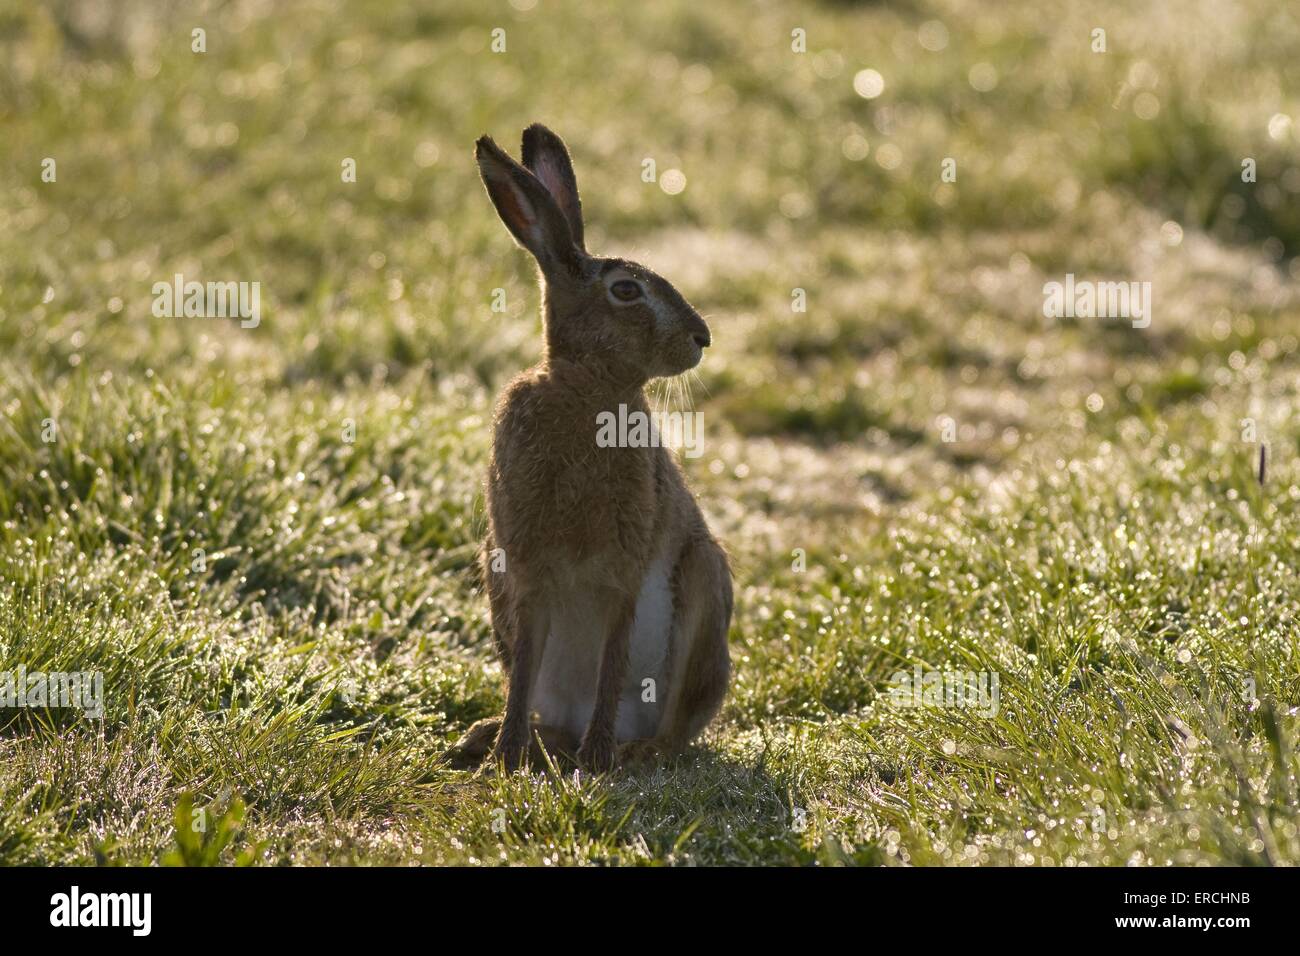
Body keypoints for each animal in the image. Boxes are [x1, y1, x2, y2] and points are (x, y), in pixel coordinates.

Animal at [447, 124, 732, 773]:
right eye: (626, 290)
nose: (702, 337)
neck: (586, 389)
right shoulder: (526, 568)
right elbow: (525, 667)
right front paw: (507, 755)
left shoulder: (622, 567)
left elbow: (613, 656)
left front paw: (596, 759)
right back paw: (506, 739)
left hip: (703, 587)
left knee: (676, 727)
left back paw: (631, 748)